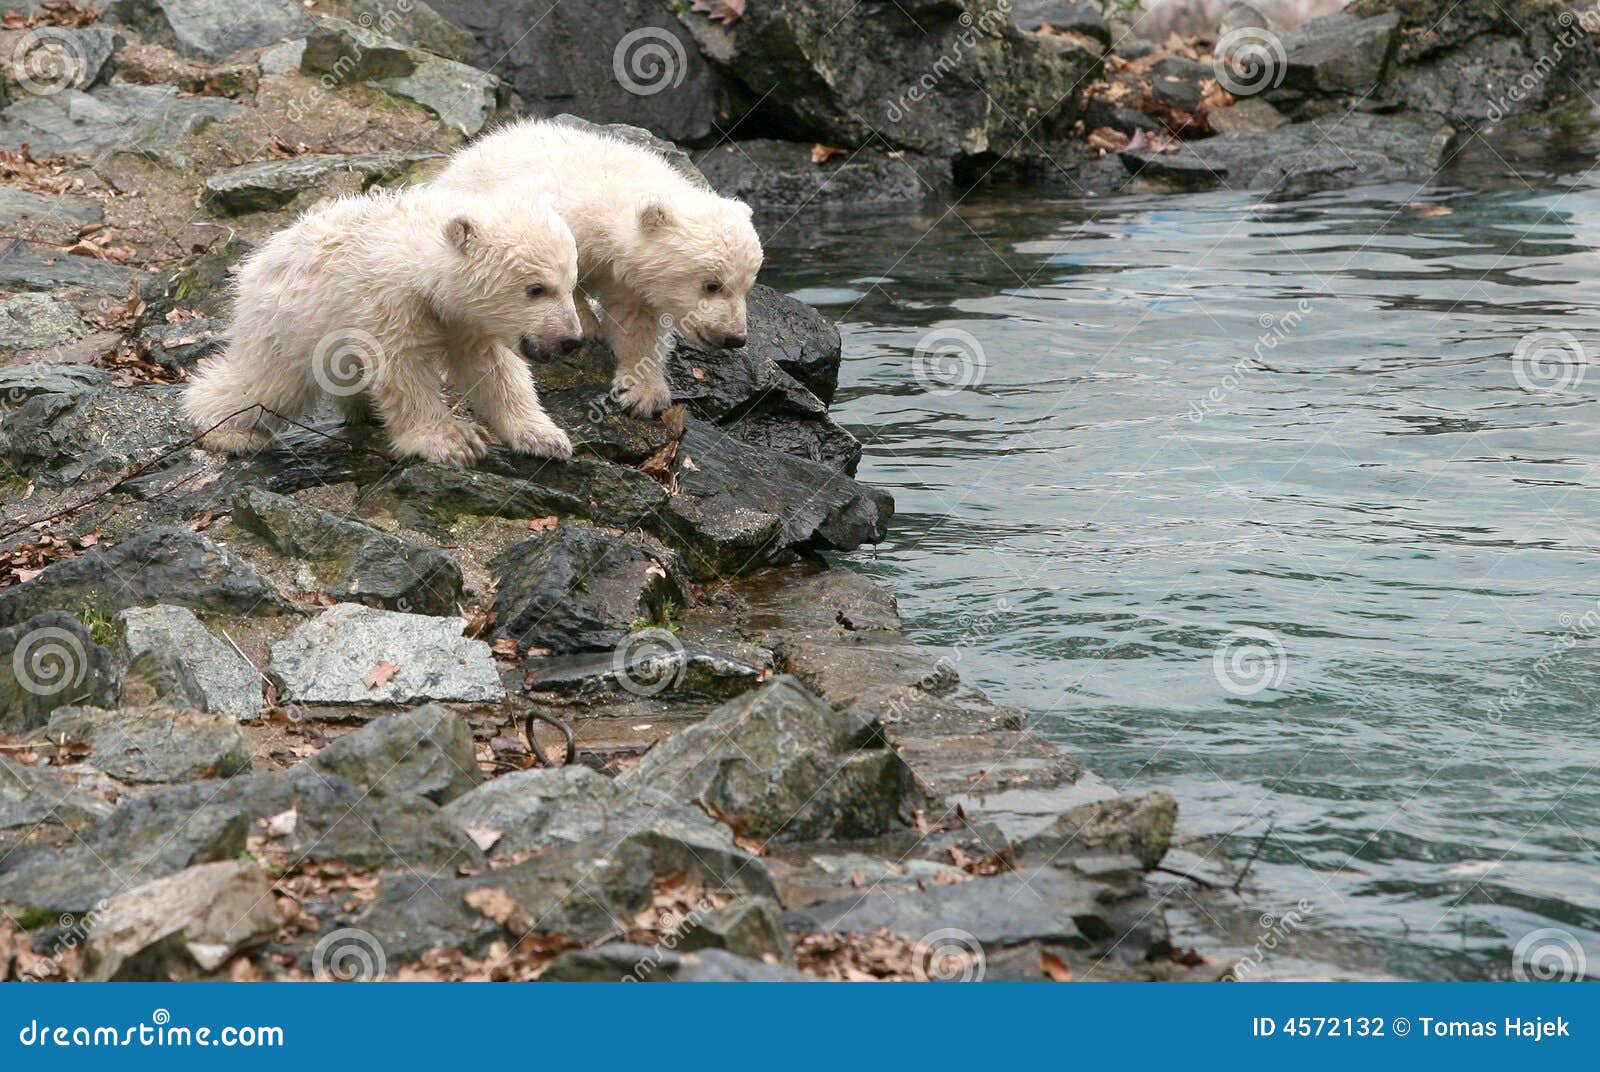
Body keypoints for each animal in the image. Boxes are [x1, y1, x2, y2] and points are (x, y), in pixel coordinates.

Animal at [183, 185, 583, 466]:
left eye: (570, 284)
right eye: (536, 288)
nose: (571, 340)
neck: (422, 268)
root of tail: (259, 259)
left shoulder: (466, 320)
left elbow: (495, 371)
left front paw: (544, 437)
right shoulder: (386, 304)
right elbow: (403, 370)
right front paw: (452, 441)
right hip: (286, 324)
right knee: (266, 384)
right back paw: (228, 431)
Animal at [432, 119, 765, 419]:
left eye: (747, 287)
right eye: (712, 284)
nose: (734, 338)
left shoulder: (631, 281)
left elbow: (637, 323)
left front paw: (643, 394)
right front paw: (586, 323)